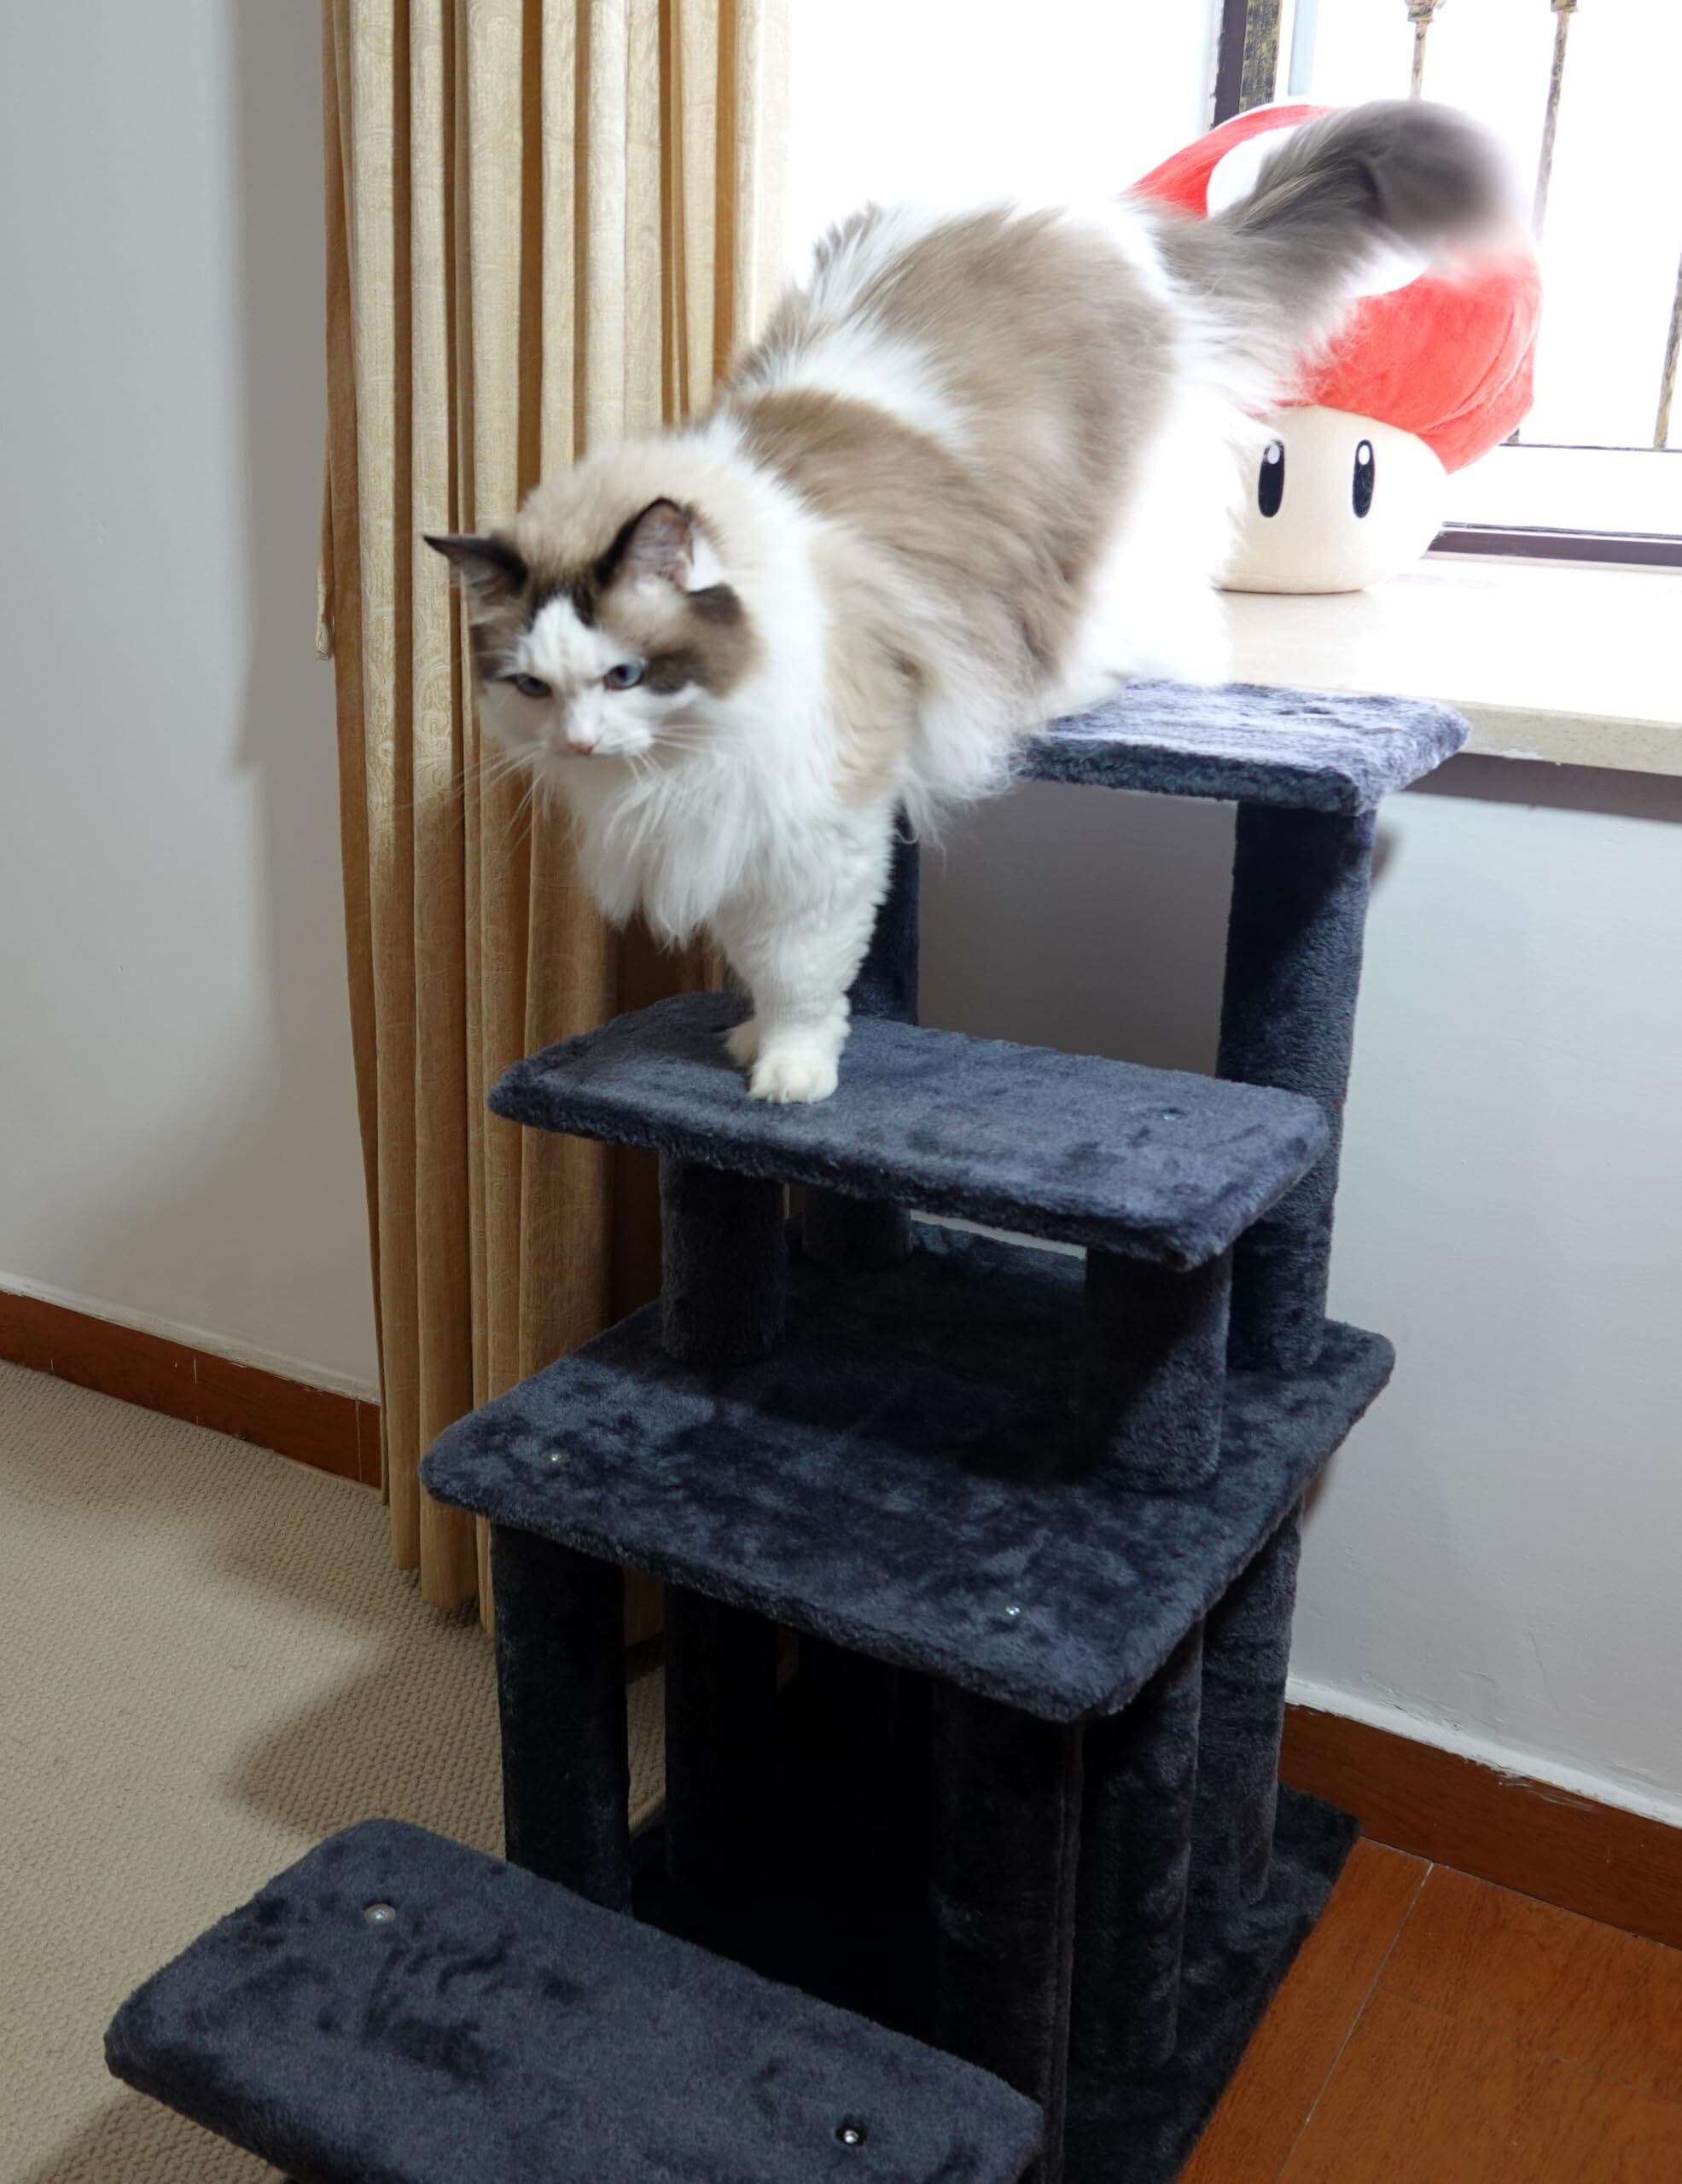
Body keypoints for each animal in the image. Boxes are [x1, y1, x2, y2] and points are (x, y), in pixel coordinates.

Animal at [430, 102, 1502, 1102]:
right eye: (532, 688)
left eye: (626, 674)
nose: (578, 744)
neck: (680, 758)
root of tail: (1110, 217)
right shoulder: (729, 826)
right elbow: (756, 960)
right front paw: (748, 1038)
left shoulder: (818, 822)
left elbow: (800, 972)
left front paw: (789, 1072)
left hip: (1109, 518)